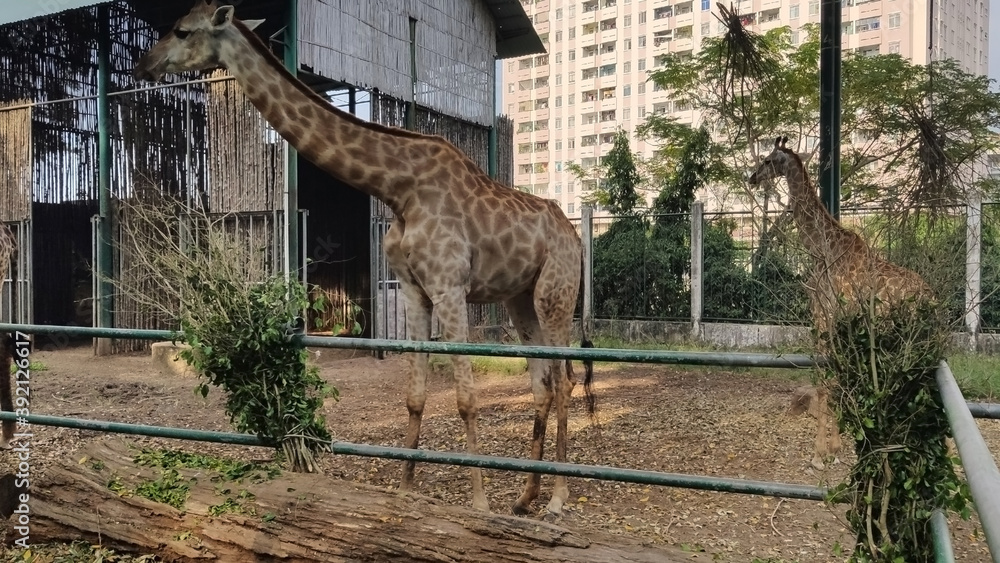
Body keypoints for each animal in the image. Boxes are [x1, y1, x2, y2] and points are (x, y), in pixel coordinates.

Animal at [134, 0, 596, 515]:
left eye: (182, 30)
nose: (143, 65)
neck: (398, 190)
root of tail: (573, 235)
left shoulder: (449, 288)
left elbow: (465, 399)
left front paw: (478, 504)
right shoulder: (415, 290)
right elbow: (415, 395)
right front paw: (406, 489)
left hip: (556, 293)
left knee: (564, 381)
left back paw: (556, 500)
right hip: (519, 299)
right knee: (542, 383)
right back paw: (524, 497)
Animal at [748, 136, 932, 470]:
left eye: (768, 159)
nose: (752, 177)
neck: (821, 249)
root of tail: (934, 299)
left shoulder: (823, 316)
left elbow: (826, 382)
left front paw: (820, 453)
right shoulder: (840, 322)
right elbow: (838, 382)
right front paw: (834, 447)